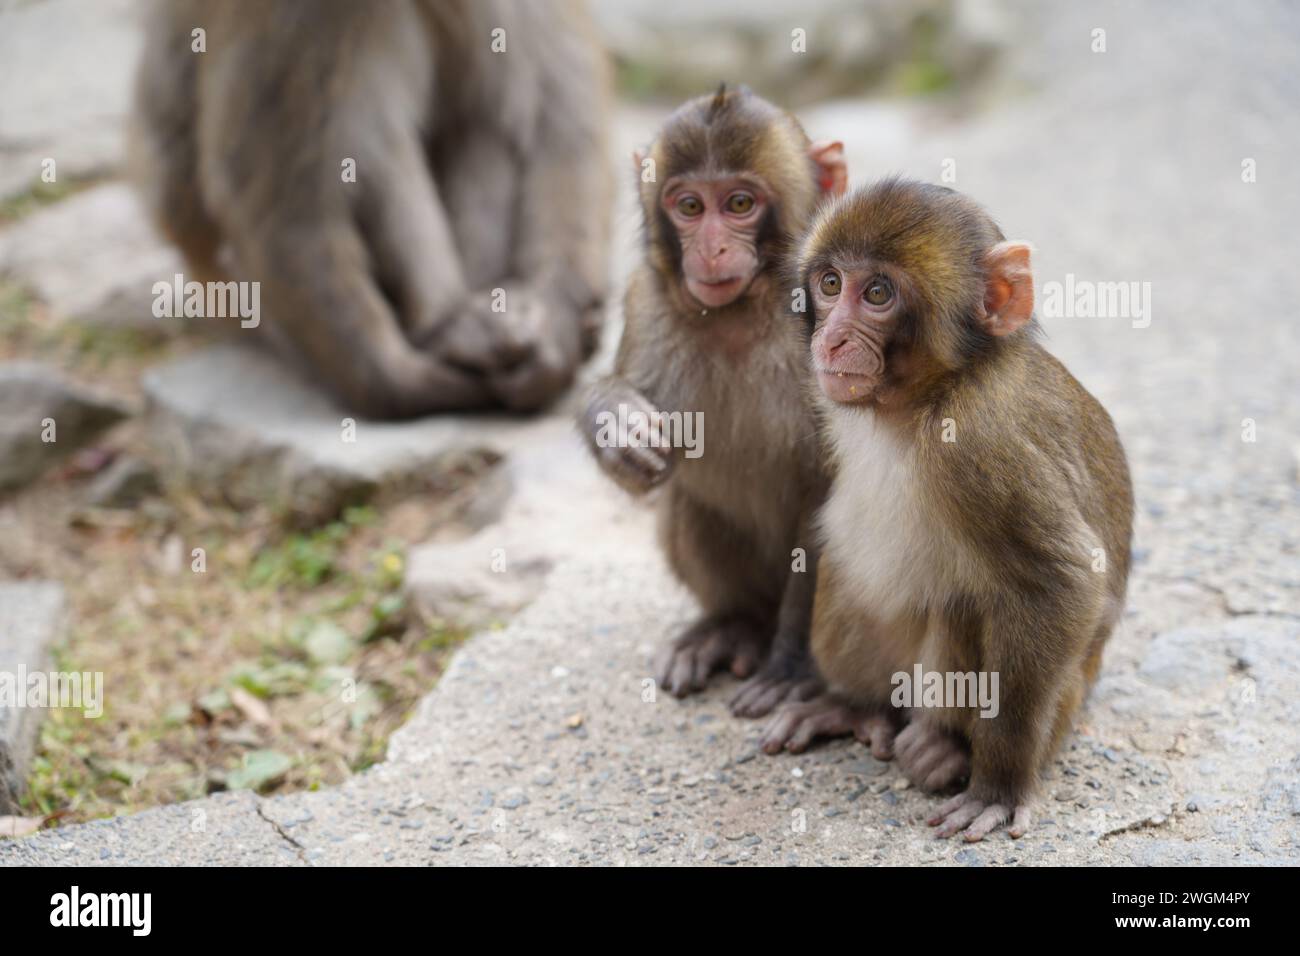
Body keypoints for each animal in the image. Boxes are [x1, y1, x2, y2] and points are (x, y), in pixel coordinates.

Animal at [131, 0, 611, 419]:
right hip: (239, 298)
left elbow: (556, 115)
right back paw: (447, 325)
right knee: (372, 144)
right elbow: (281, 191)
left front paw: (556, 321)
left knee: (485, 119)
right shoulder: (298, 14)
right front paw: (397, 381)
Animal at [580, 86, 849, 718]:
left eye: (740, 203)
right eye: (689, 207)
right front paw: (614, 424)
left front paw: (793, 666)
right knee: (691, 502)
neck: (742, 312)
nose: (711, 247)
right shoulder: (646, 301)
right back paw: (733, 625)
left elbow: (830, 498)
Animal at [760, 178, 1133, 841]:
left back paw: (948, 747)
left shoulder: (980, 443)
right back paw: (855, 707)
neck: (921, 400)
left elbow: (1058, 583)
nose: (832, 339)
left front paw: (999, 784)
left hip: (1063, 705)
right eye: (830, 283)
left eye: (877, 294)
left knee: (965, 600)